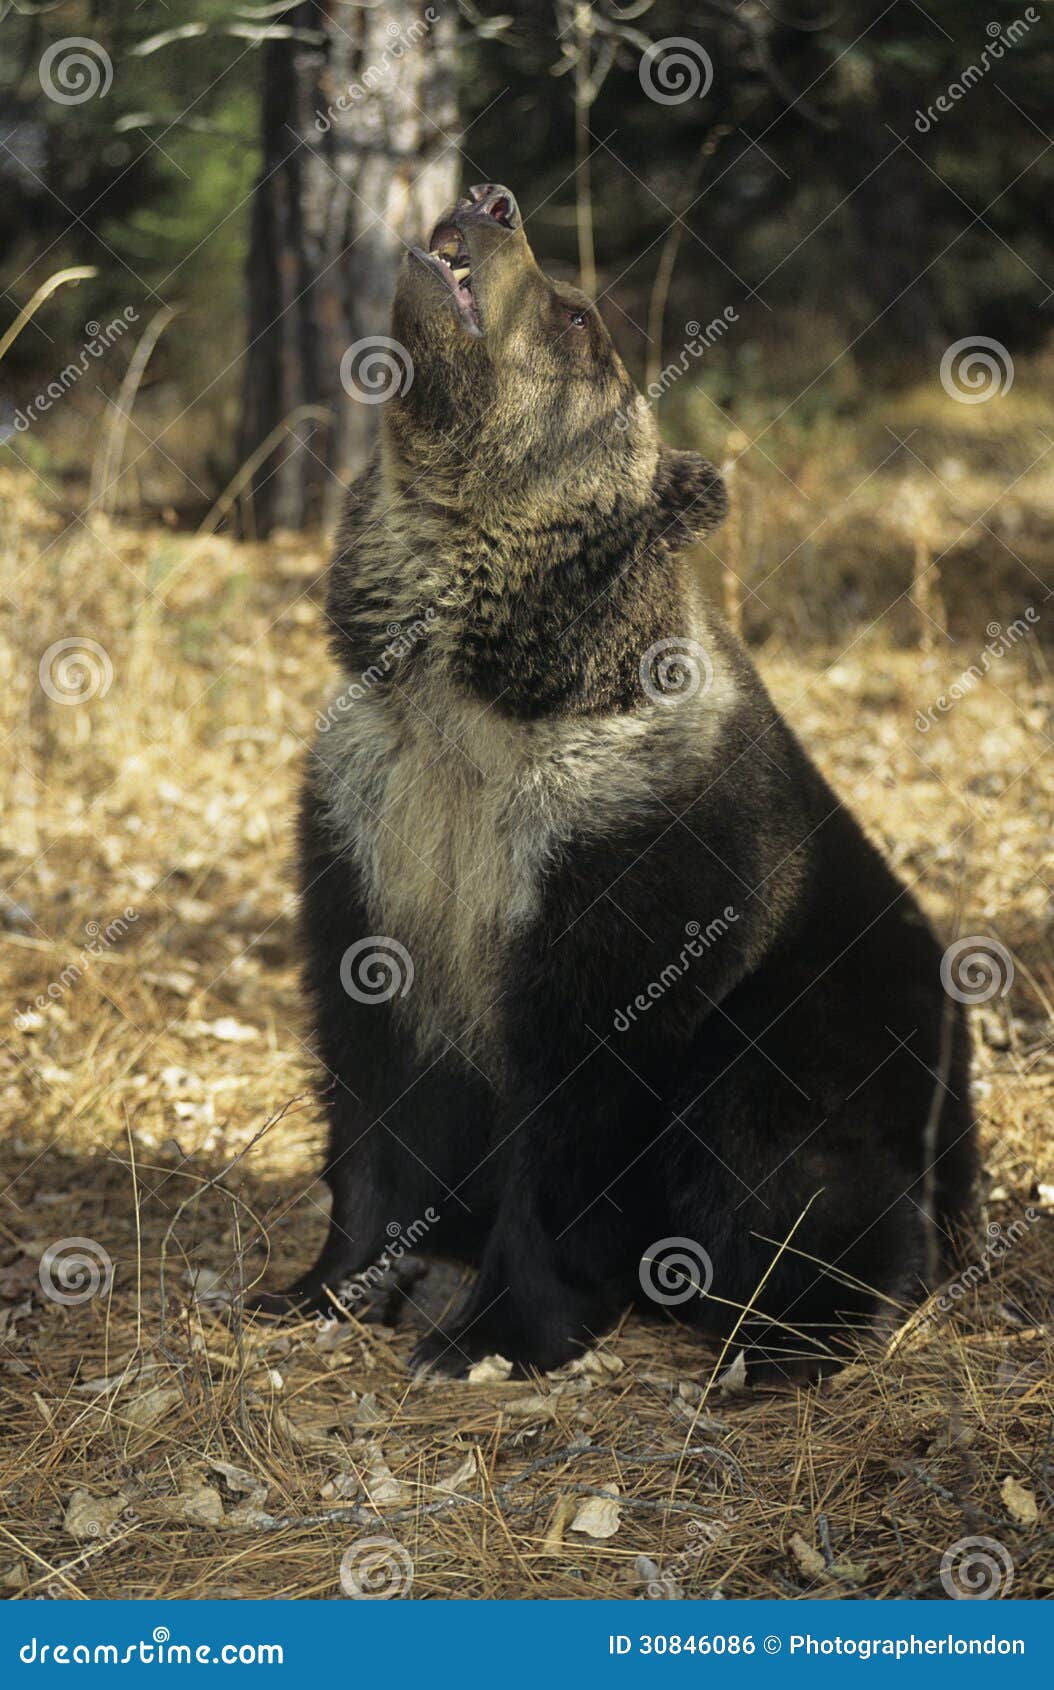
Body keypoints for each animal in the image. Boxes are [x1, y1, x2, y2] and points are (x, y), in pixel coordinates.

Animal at [251, 182, 977, 1382]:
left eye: (581, 313)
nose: (490, 198)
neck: (485, 687)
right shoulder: (375, 823)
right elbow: (368, 1074)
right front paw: (321, 1285)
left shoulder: (629, 844)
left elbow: (582, 1098)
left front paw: (487, 1335)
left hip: (838, 1008)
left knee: (790, 1147)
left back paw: (790, 1340)